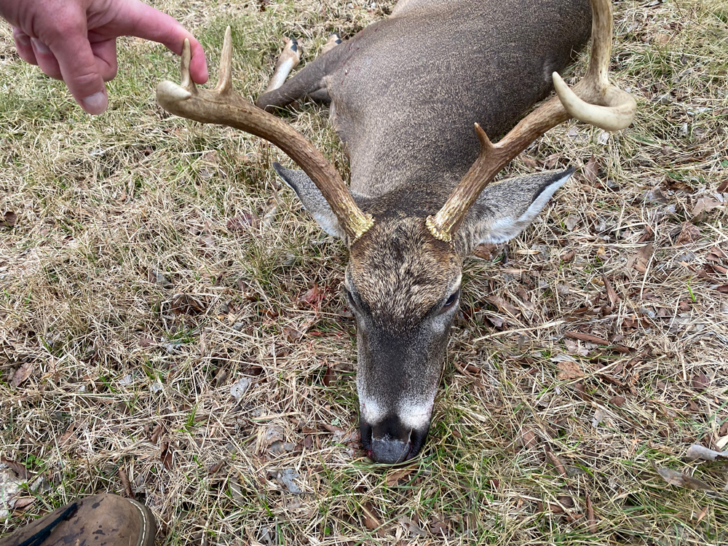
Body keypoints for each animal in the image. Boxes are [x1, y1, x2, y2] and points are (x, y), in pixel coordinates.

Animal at [156, 0, 636, 464]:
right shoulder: (353, 53)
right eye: (351, 293)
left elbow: (263, 96)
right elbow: (264, 98)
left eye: (451, 297)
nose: (390, 441)